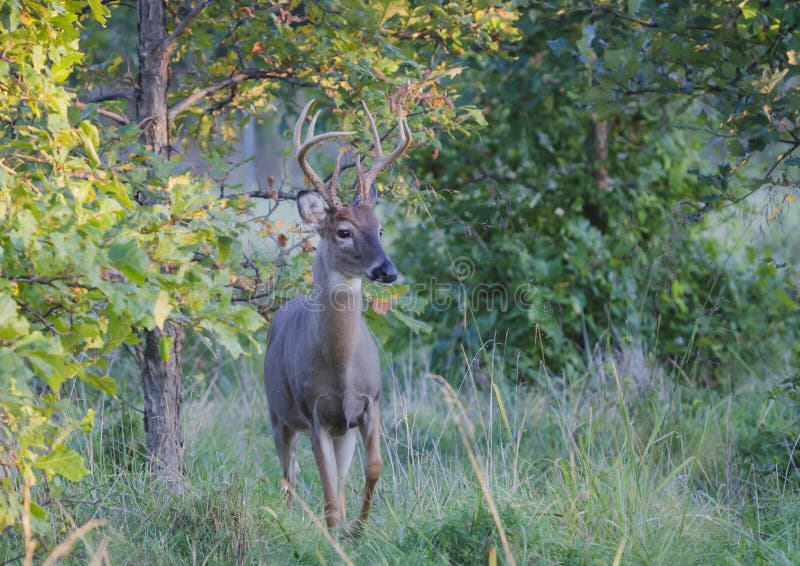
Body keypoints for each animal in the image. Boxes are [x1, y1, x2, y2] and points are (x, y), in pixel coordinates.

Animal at [263, 98, 412, 532]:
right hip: (276, 412)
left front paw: (359, 529)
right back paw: (291, 519)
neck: (341, 369)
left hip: (341, 429)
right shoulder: (314, 413)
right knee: (289, 474)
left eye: (380, 228)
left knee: (326, 477)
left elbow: (371, 468)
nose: (387, 271)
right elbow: (327, 493)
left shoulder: (370, 403)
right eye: (344, 231)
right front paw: (334, 534)